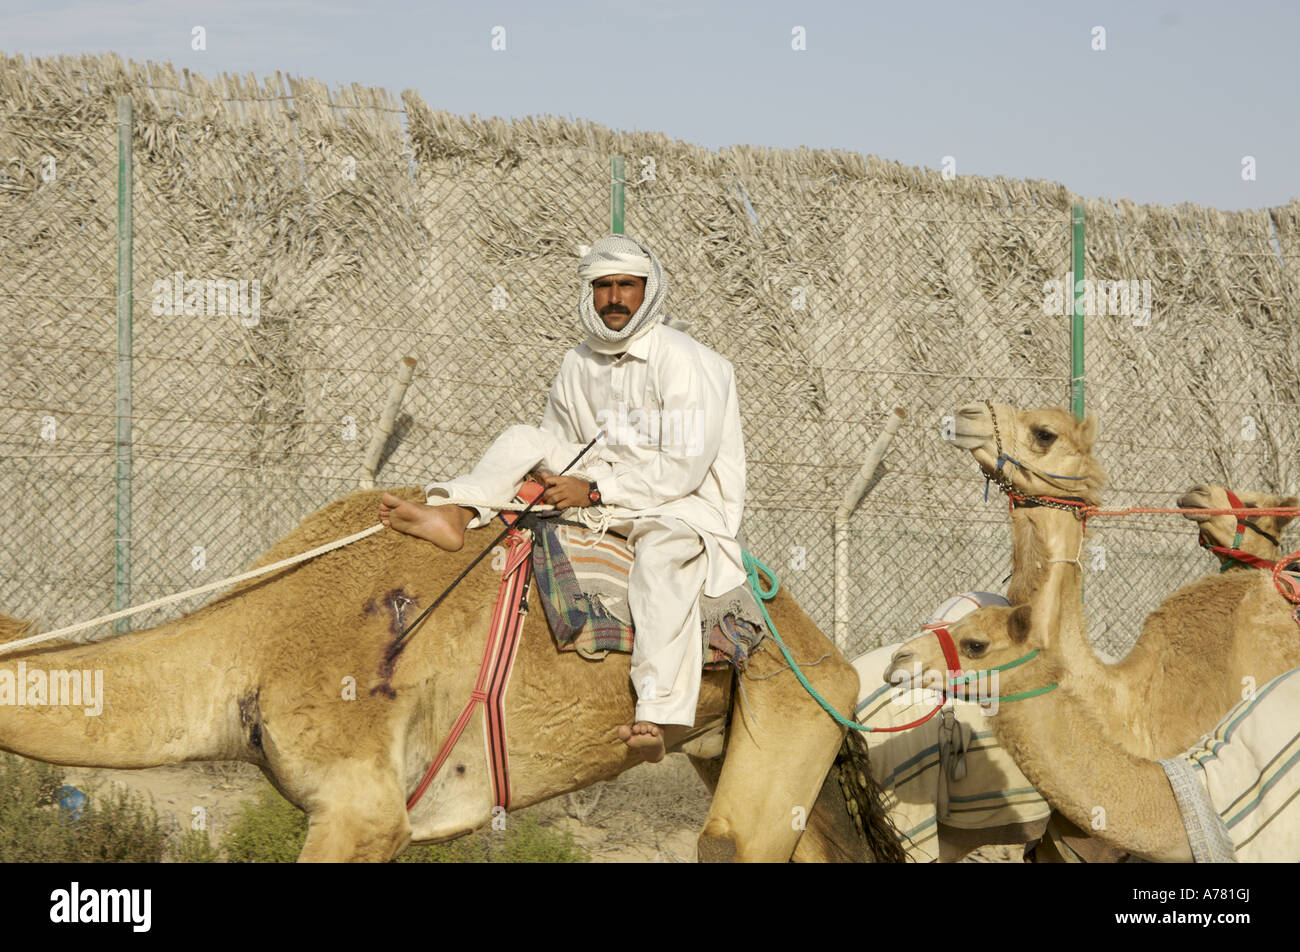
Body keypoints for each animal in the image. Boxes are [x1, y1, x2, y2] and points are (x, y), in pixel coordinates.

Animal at [0, 487, 902, 862]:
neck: (253, 650)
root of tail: (824, 648)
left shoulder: (360, 810)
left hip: (787, 708)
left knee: (728, 842)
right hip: (756, 738)